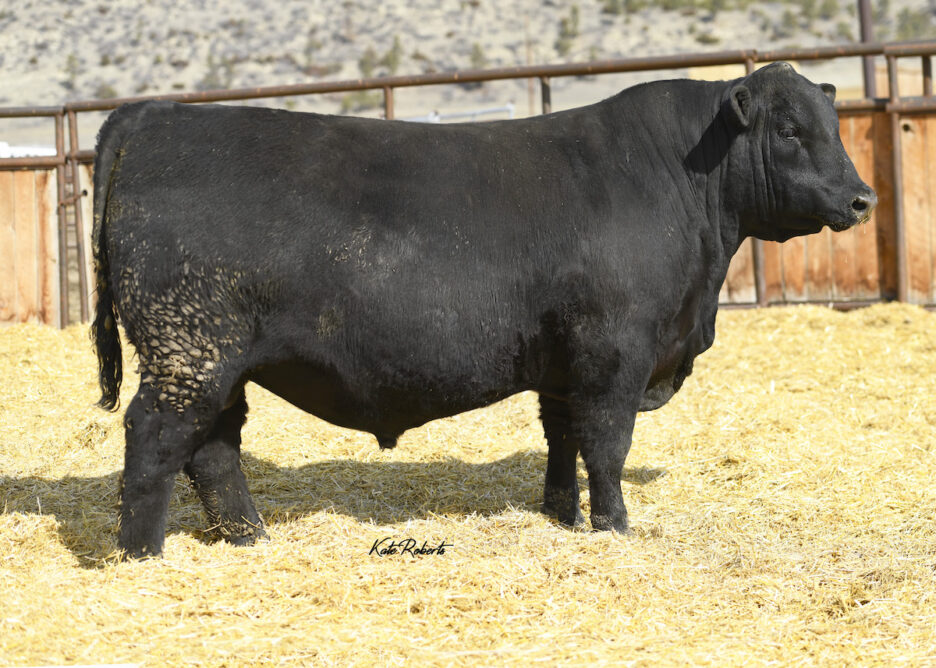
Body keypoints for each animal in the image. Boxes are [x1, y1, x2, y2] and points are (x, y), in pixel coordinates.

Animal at [91, 62, 876, 558]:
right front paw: (614, 526)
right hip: (187, 350)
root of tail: (153, 116)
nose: (862, 198)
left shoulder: (563, 363)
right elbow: (606, 444)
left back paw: (249, 537)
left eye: (833, 124)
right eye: (790, 131)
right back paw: (140, 555)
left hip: (218, 361)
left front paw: (559, 513)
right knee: (155, 438)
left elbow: (561, 437)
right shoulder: (614, 355)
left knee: (215, 447)